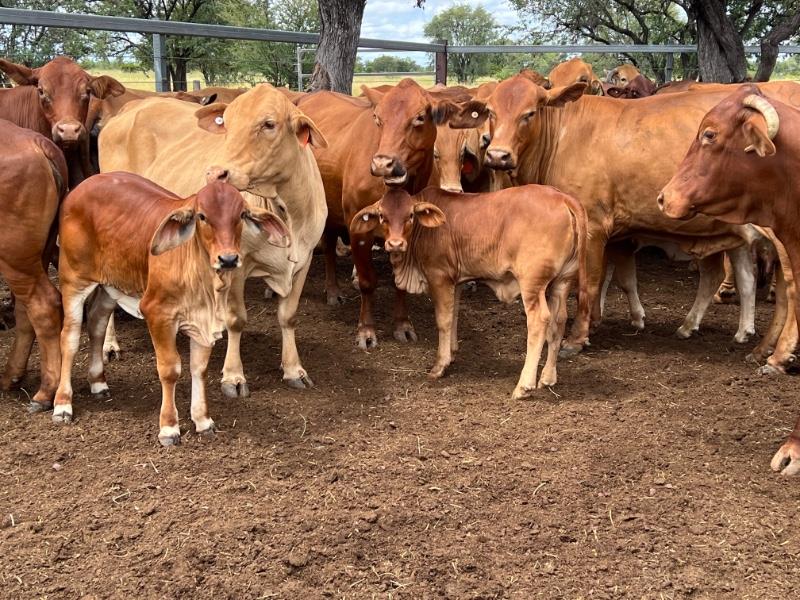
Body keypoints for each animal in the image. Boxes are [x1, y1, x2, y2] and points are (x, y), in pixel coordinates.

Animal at [54, 173, 288, 444]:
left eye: (241, 215)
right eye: (202, 216)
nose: (228, 259)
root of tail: (80, 187)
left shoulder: (203, 321)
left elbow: (199, 369)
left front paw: (203, 420)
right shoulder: (158, 314)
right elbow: (170, 369)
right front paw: (168, 427)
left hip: (110, 286)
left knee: (97, 324)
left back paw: (98, 383)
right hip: (73, 280)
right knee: (69, 337)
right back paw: (62, 404)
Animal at [99, 84, 327, 394]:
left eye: (269, 124)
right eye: (226, 124)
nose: (215, 172)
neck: (287, 211)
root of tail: (129, 109)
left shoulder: (304, 259)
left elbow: (288, 316)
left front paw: (294, 369)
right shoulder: (236, 264)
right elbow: (237, 320)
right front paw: (233, 375)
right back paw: (109, 345)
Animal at [296, 79, 471, 348]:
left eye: (419, 117)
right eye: (378, 119)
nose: (382, 163)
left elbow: (401, 282)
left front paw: (402, 325)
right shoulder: (358, 227)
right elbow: (367, 281)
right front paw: (366, 330)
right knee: (326, 246)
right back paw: (331, 291)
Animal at [350, 185, 587, 398]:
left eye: (410, 215)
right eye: (382, 216)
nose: (395, 244)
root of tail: (564, 198)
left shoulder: (439, 277)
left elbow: (443, 320)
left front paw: (440, 365)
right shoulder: (456, 281)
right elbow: (454, 314)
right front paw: (452, 352)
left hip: (532, 283)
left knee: (539, 321)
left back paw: (524, 386)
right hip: (562, 282)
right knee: (559, 321)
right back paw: (548, 377)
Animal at [448, 76, 800, 351]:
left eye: (529, 113)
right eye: (491, 112)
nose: (498, 155)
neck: (562, 137)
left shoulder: (592, 226)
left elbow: (590, 281)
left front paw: (577, 338)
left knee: (787, 287)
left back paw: (775, 352)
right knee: (738, 277)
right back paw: (733, 333)